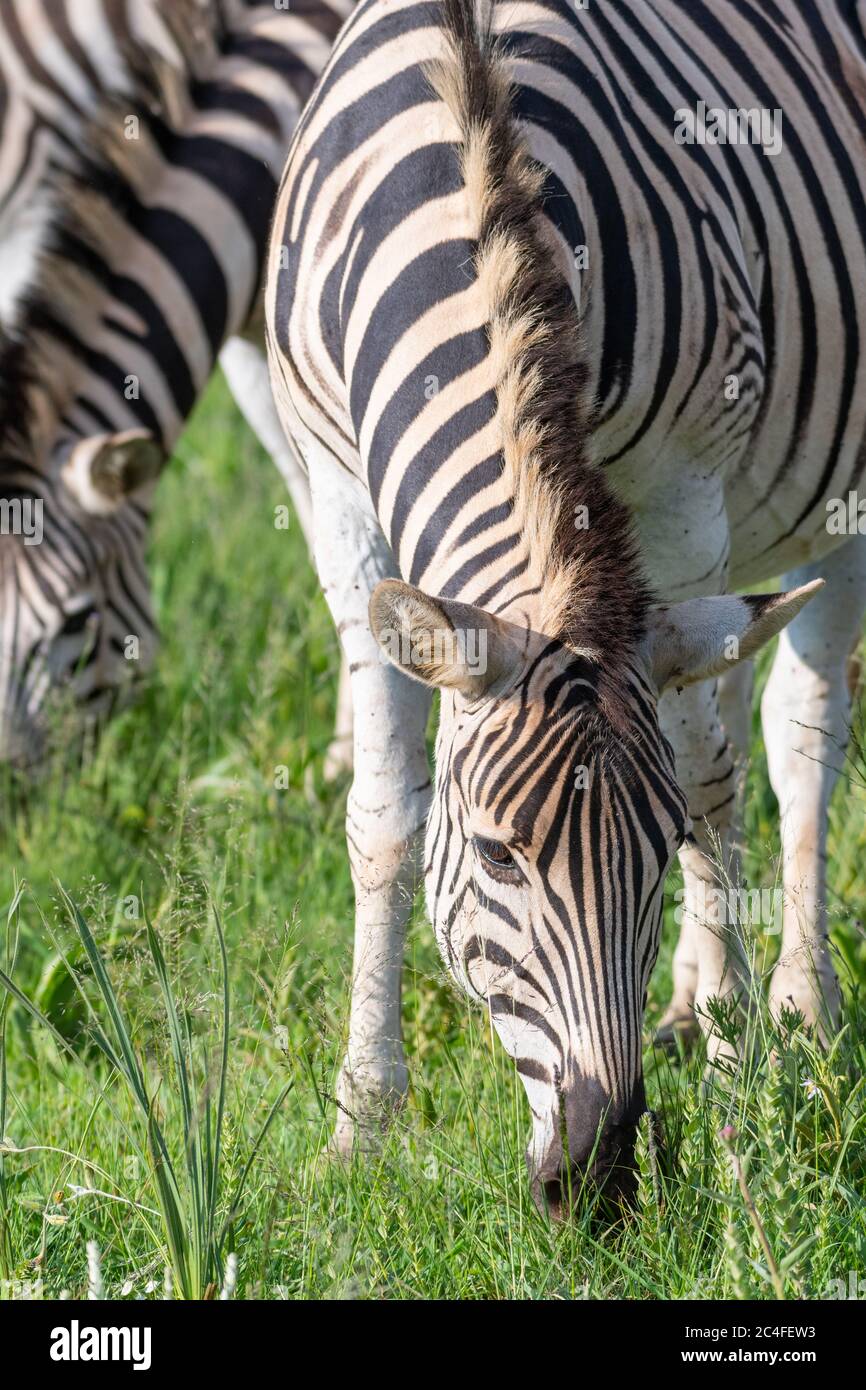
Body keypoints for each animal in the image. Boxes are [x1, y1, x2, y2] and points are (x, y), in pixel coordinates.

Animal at [266, 0, 866, 1212]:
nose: (596, 1182)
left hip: (836, 503)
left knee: (800, 736)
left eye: (653, 848)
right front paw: (361, 1124)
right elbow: (383, 817)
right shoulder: (342, 504)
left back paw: (795, 1004)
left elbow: (710, 786)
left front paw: (737, 1096)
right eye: (498, 857)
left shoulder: (679, 503)